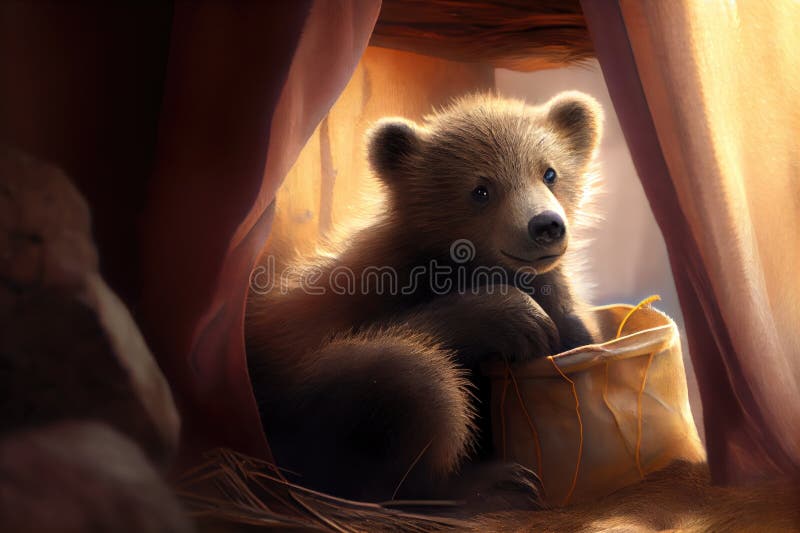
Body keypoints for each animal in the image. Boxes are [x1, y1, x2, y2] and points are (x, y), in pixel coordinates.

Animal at [245, 91, 603, 510]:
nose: (545, 225)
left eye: (549, 173)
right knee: (412, 375)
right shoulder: (360, 290)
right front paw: (515, 317)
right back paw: (488, 484)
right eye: (481, 189)